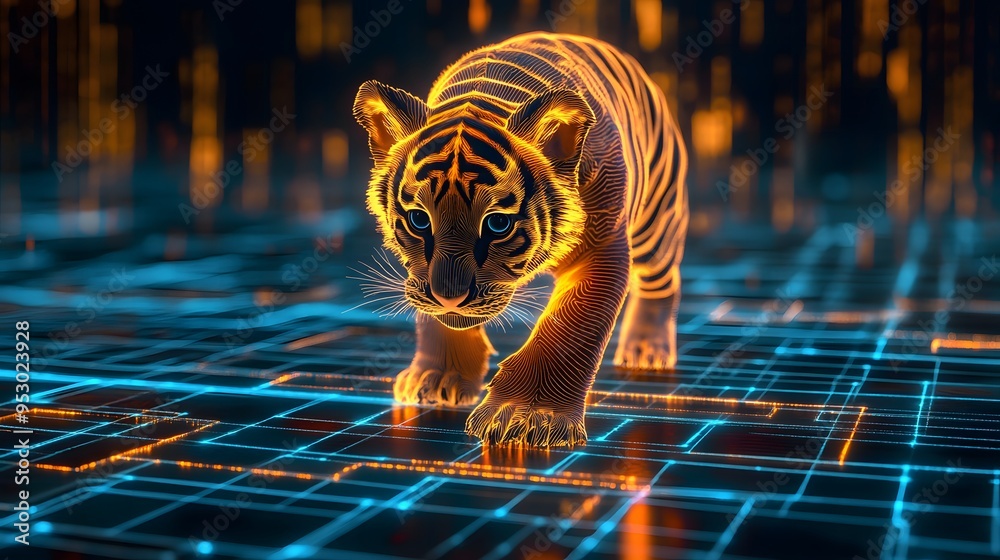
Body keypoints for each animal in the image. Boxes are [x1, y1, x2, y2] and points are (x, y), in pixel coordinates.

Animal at [353, 31, 689, 447]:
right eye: (418, 219)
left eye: (497, 224)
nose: (449, 296)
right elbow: (434, 315)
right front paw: (437, 377)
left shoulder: (603, 246)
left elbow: (569, 325)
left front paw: (528, 416)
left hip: (656, 219)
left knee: (661, 278)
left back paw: (646, 350)